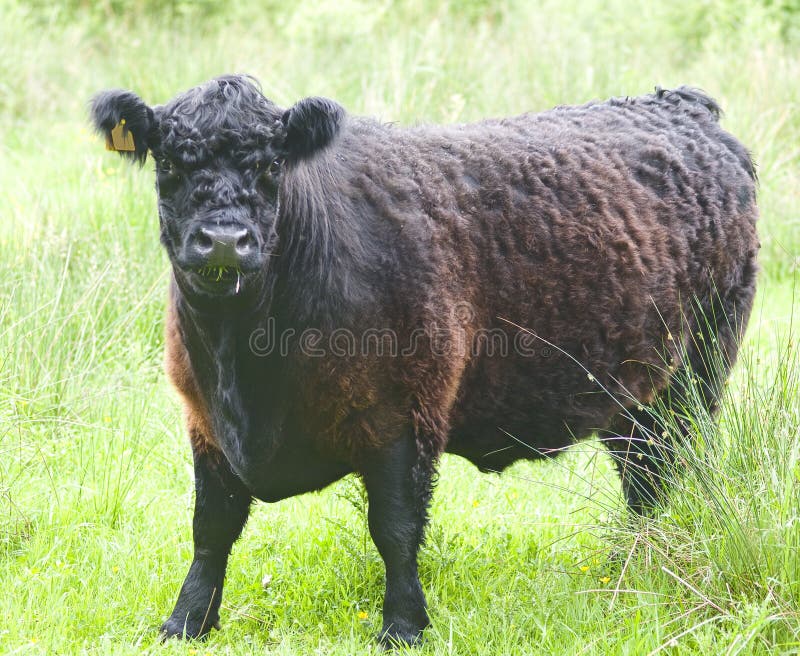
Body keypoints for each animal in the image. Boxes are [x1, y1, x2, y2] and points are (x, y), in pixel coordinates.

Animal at [91, 75, 758, 647]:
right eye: (169, 163)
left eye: (271, 165)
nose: (225, 241)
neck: (248, 363)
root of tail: (678, 104)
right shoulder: (204, 420)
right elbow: (212, 526)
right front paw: (186, 622)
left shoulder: (402, 417)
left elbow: (395, 528)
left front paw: (403, 626)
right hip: (633, 396)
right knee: (645, 481)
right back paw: (628, 566)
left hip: (693, 379)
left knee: (670, 474)